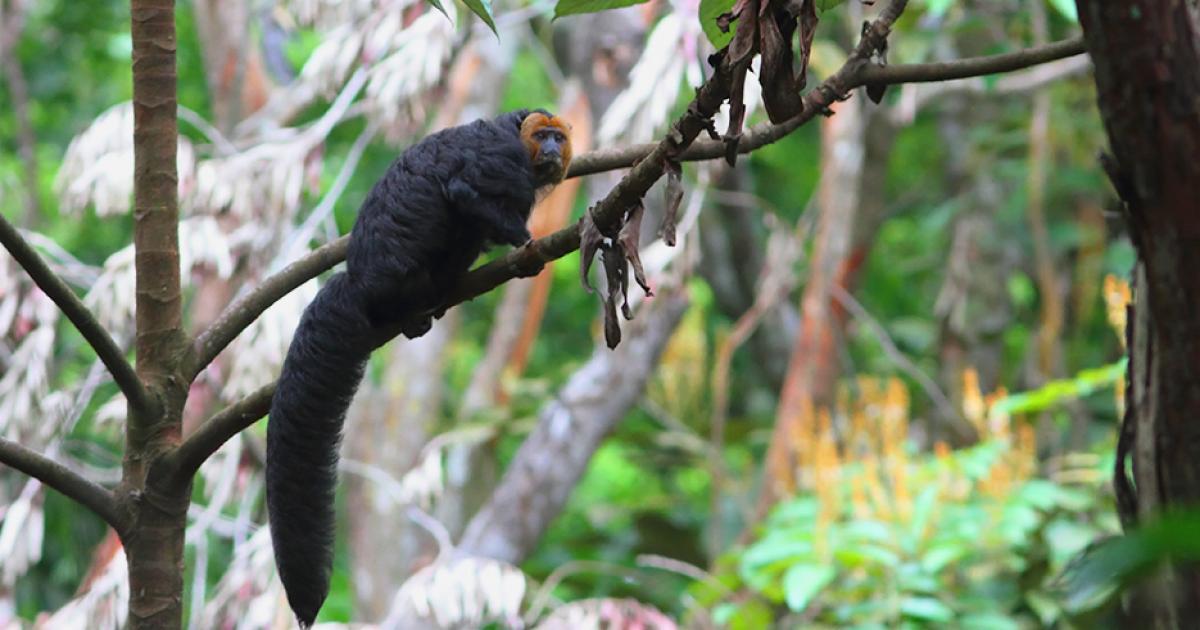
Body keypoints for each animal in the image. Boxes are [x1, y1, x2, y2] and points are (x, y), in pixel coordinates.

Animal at [265, 109, 571, 628]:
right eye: (542, 136)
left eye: (558, 137)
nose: (551, 148)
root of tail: (357, 283)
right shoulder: (502, 159)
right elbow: (464, 191)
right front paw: (525, 245)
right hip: (401, 280)